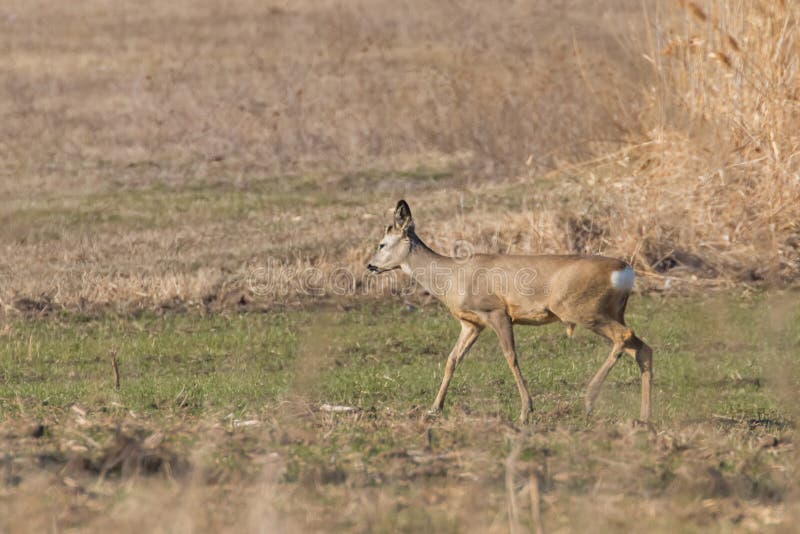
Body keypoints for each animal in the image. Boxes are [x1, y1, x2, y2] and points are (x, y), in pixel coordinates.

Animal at [367, 200, 652, 424]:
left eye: (382, 244)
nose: (370, 266)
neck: (451, 277)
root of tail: (626, 270)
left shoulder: (496, 312)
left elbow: (510, 356)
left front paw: (526, 410)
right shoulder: (472, 323)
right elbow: (452, 359)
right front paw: (434, 409)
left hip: (582, 309)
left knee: (625, 337)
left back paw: (590, 399)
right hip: (611, 311)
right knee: (642, 348)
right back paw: (643, 417)